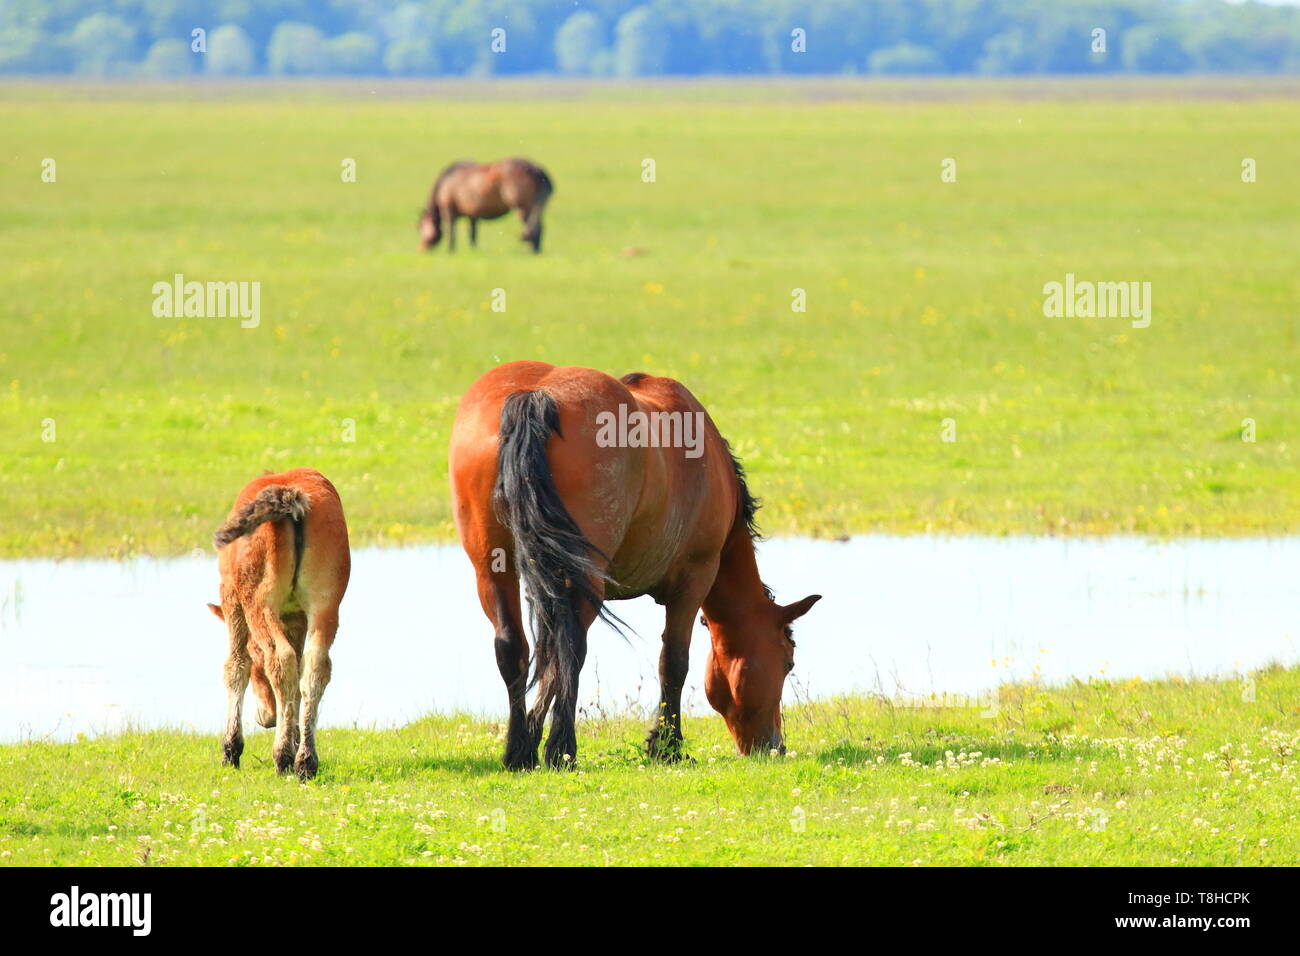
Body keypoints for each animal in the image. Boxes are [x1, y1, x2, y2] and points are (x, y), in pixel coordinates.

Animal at [207, 468, 350, 780]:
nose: (267, 717)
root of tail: (289, 496)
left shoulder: (231, 597)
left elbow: (236, 665)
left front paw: (231, 750)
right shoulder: (296, 616)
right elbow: (297, 678)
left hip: (258, 601)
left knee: (281, 660)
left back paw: (283, 757)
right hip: (326, 602)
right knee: (314, 667)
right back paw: (305, 760)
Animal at [419, 158, 553, 254]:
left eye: (419, 228)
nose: (421, 250)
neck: (444, 182)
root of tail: (538, 171)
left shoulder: (448, 210)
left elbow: (451, 233)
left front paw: (450, 251)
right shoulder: (472, 215)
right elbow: (473, 235)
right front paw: (473, 251)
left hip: (523, 208)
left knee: (535, 228)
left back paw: (533, 252)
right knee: (538, 227)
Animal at [449, 361, 821, 770]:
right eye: (787, 663)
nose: (776, 746)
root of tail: (535, 396)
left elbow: (545, 662)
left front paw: (531, 734)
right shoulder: (695, 578)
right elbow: (673, 662)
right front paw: (667, 746)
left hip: (491, 569)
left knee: (513, 646)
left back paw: (518, 750)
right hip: (584, 575)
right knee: (571, 648)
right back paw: (562, 749)